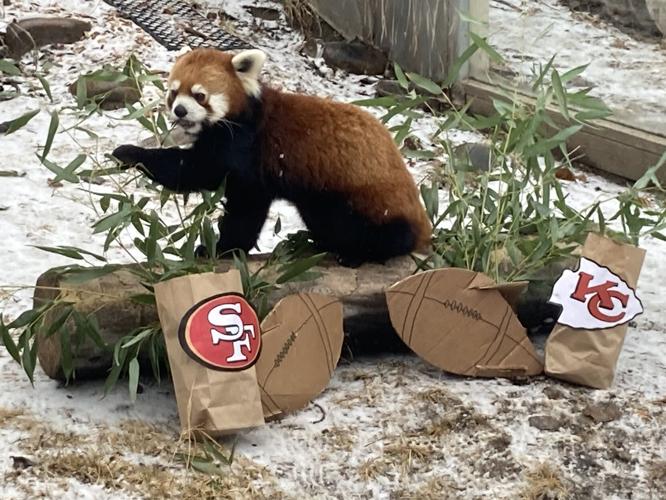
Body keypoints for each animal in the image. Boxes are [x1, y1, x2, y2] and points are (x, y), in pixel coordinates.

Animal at [112, 48, 432, 266]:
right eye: (173, 92)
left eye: (200, 95)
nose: (179, 111)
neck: (241, 115)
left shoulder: (245, 146)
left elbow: (205, 178)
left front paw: (128, 152)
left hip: (367, 201)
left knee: (375, 232)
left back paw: (355, 253)